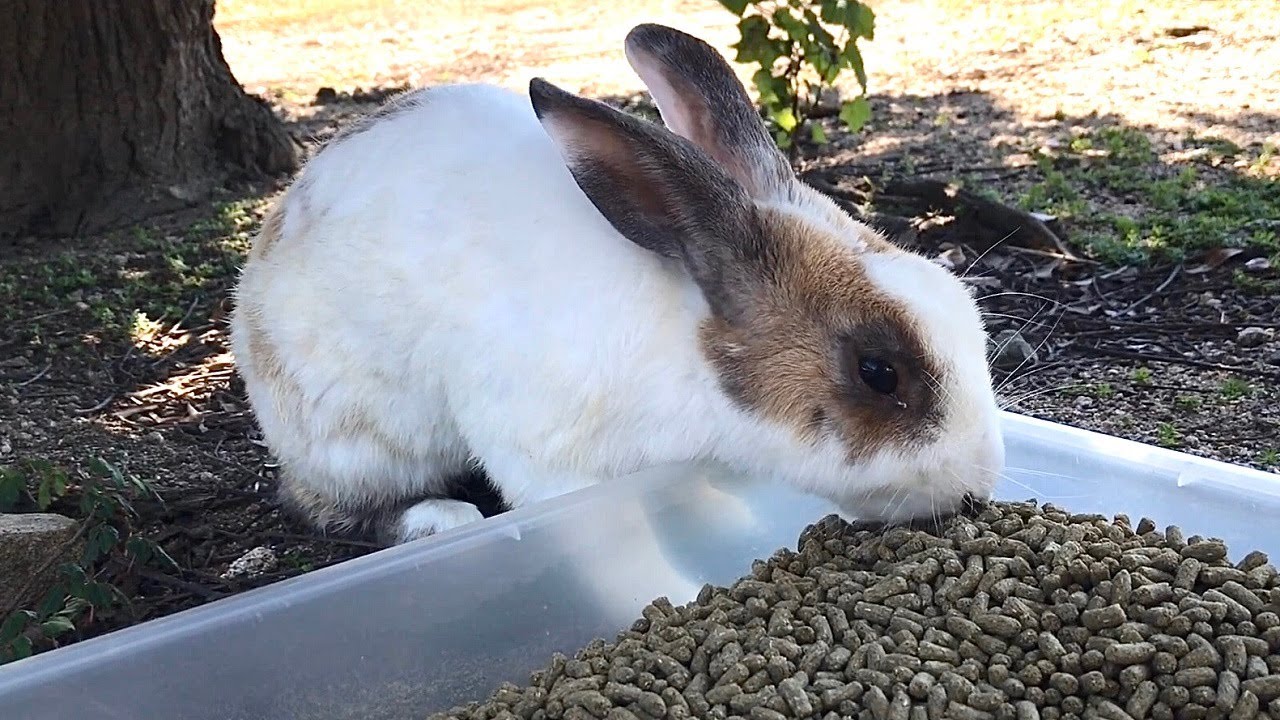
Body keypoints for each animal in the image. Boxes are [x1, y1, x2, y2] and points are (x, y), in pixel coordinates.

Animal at [229, 23, 1005, 547]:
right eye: (878, 372)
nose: (977, 486)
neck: (688, 356)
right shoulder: (550, 458)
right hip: (362, 442)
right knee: (329, 505)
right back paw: (441, 518)